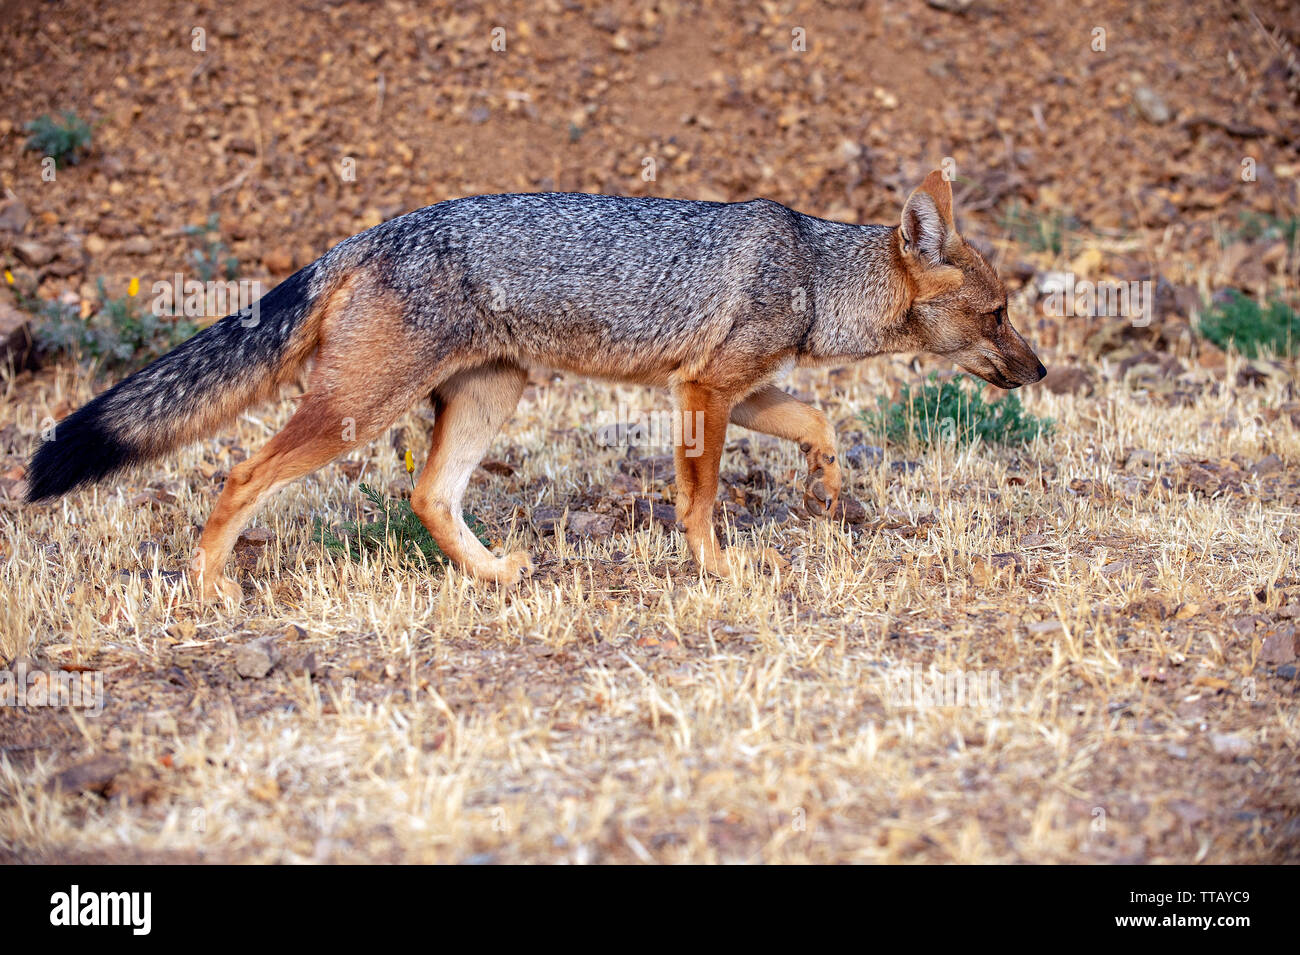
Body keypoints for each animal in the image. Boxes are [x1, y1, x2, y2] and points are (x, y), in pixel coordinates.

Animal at [26, 169, 1044, 602]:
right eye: (999, 316)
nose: (1041, 370)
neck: (815, 272)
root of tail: (372, 233)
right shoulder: (707, 391)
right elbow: (702, 496)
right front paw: (718, 568)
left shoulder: (740, 387)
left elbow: (823, 421)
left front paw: (828, 495)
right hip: (357, 410)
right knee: (240, 472)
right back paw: (208, 587)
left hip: (489, 397)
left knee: (429, 495)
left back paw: (491, 574)